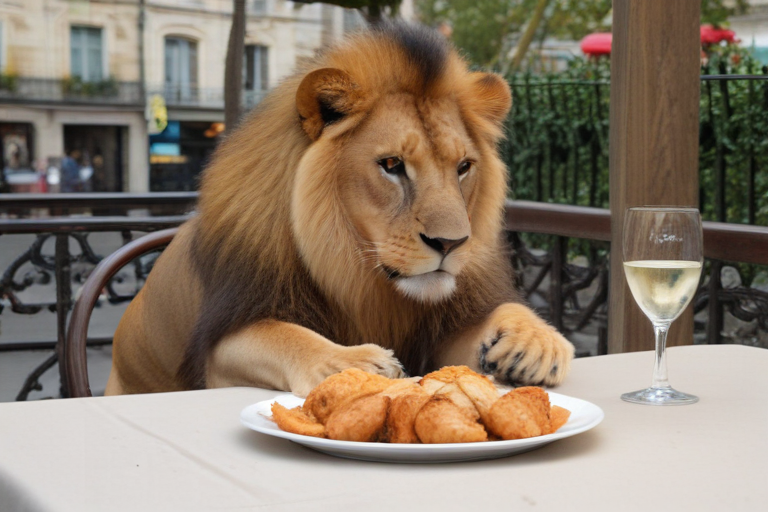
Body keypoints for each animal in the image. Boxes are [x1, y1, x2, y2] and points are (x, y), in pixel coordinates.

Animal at [105, 23, 574, 397]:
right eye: (392, 165)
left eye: (463, 167)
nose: (451, 243)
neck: (360, 275)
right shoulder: (220, 342)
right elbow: (287, 336)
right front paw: (356, 362)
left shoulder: (436, 336)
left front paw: (536, 340)